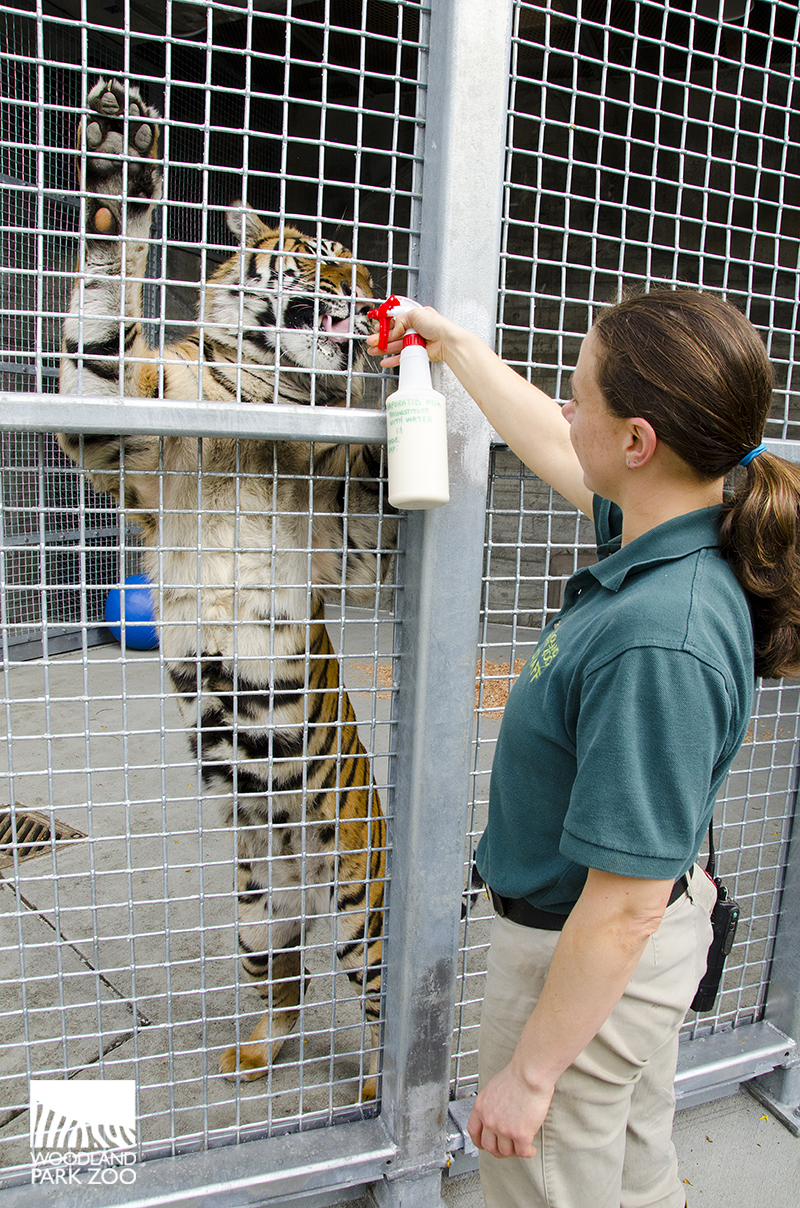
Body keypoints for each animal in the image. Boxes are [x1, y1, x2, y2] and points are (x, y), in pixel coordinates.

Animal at [57, 78, 397, 1098]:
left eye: (365, 267)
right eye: (326, 256)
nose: (372, 288)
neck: (261, 400)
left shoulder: (347, 531)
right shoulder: (114, 421)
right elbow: (102, 298)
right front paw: (119, 160)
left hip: (360, 908)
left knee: (377, 999)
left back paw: (377, 1089)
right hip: (257, 908)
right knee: (284, 979)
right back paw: (252, 1056)